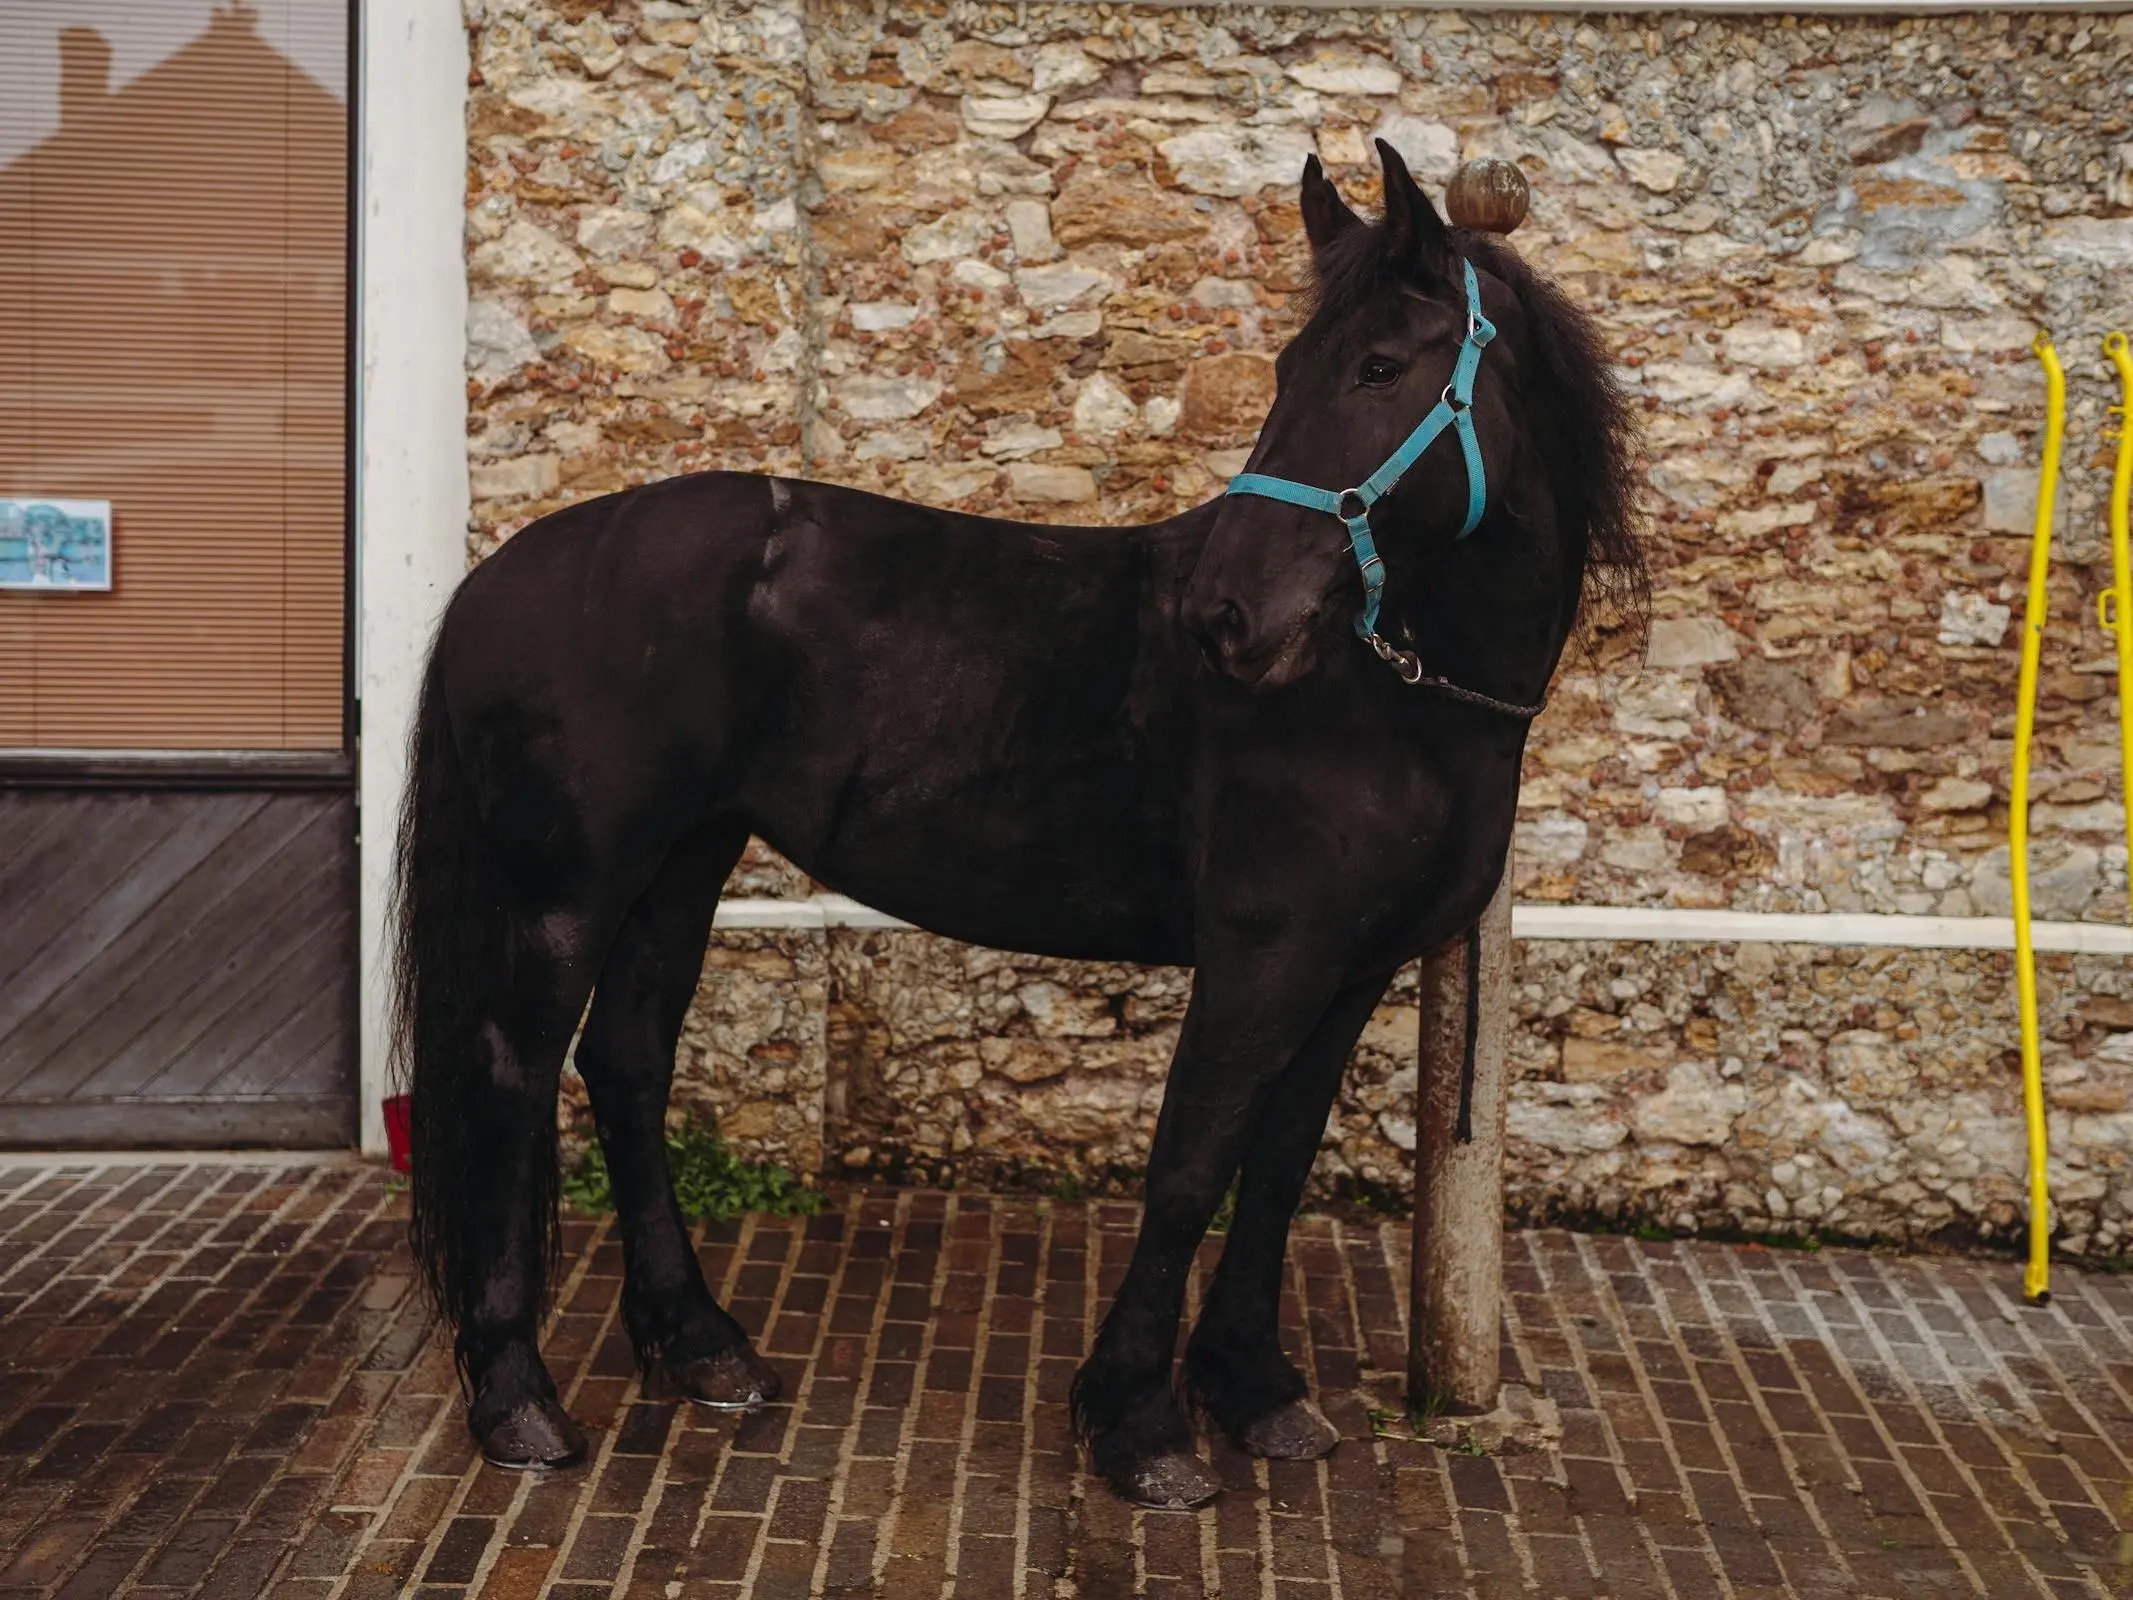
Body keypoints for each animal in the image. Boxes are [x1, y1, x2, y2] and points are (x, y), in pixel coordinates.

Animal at [392, 138, 1642, 1508]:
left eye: (1376, 367)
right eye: (1290, 370)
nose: (1225, 616)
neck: (1392, 702)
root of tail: (504, 572)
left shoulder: (1350, 973)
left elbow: (1277, 1165)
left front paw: (1256, 1389)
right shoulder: (1264, 957)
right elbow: (1192, 1163)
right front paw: (1141, 1419)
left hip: (683, 861)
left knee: (626, 1061)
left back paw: (703, 1345)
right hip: (570, 888)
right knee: (511, 1076)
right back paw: (519, 1399)